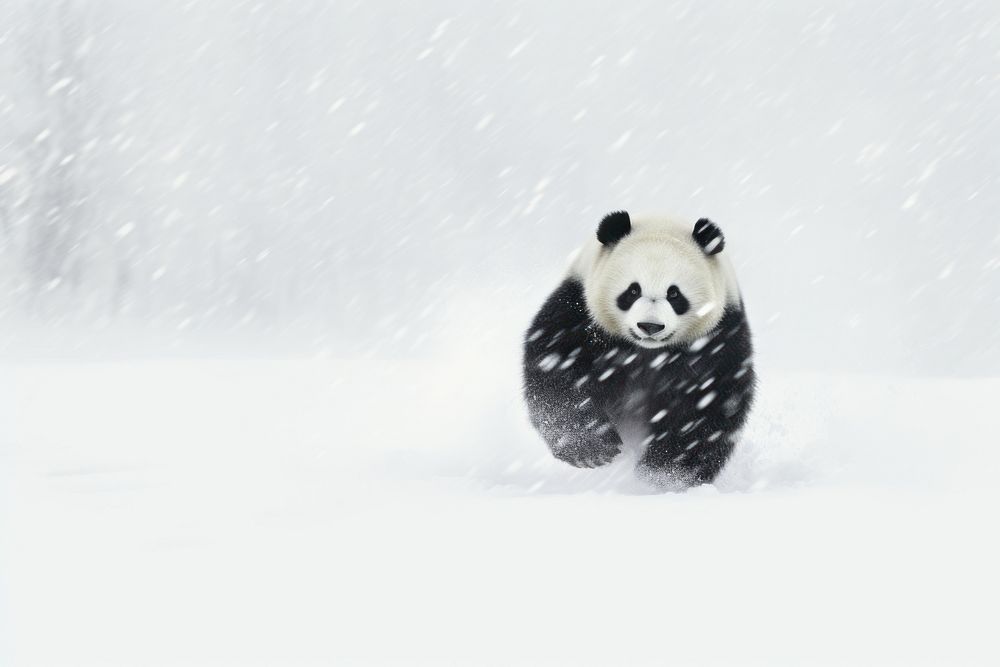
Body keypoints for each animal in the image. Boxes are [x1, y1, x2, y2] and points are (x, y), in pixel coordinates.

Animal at [522, 211, 756, 488]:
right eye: (633, 290)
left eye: (674, 294)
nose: (650, 326)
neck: (647, 351)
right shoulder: (579, 310)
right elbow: (559, 372)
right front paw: (592, 451)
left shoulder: (716, 336)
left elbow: (706, 403)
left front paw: (664, 475)